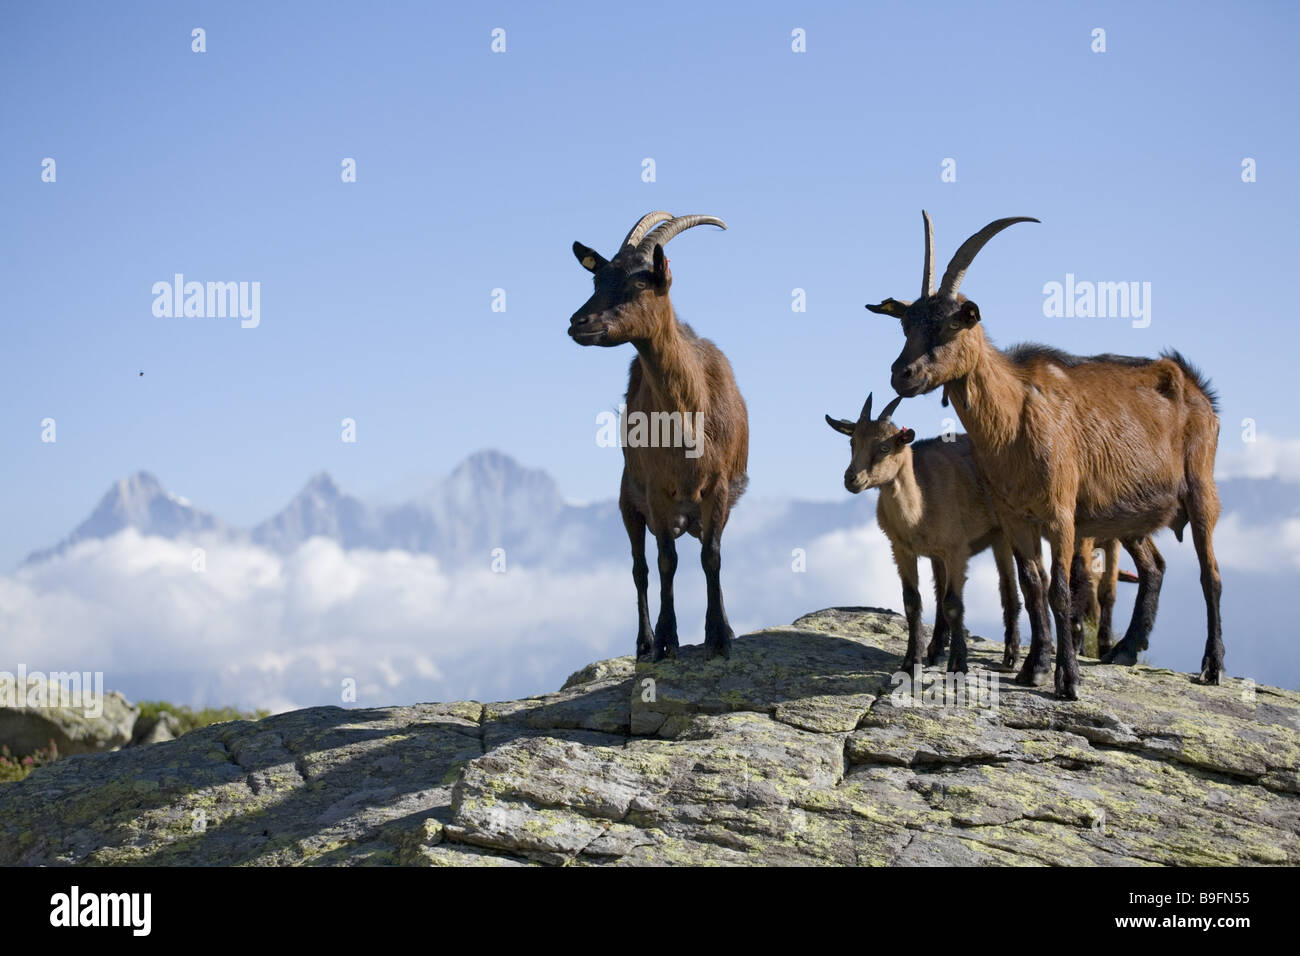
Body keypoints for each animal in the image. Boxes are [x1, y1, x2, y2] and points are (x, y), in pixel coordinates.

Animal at [569, 212, 748, 662]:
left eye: (638, 282)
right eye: (597, 281)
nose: (578, 323)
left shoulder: (718, 487)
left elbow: (712, 556)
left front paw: (720, 635)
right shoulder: (656, 490)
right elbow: (666, 560)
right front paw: (667, 639)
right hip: (627, 502)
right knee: (640, 568)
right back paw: (645, 640)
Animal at [826, 393, 1022, 673]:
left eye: (885, 447)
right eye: (853, 441)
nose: (852, 479)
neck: (920, 508)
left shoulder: (956, 550)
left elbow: (953, 604)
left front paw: (958, 664)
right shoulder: (902, 549)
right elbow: (913, 601)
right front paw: (911, 661)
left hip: (1003, 535)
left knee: (1009, 588)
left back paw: (1012, 655)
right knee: (940, 592)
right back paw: (935, 649)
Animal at [870, 211, 1222, 699]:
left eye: (950, 325)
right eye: (907, 326)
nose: (901, 374)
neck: (1014, 416)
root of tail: (1196, 386)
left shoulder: (1061, 513)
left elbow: (1060, 591)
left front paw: (1067, 680)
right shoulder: (1016, 517)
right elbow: (1032, 585)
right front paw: (1033, 668)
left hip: (1201, 489)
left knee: (1211, 575)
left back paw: (1212, 666)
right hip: (1130, 515)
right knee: (1155, 566)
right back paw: (1126, 650)